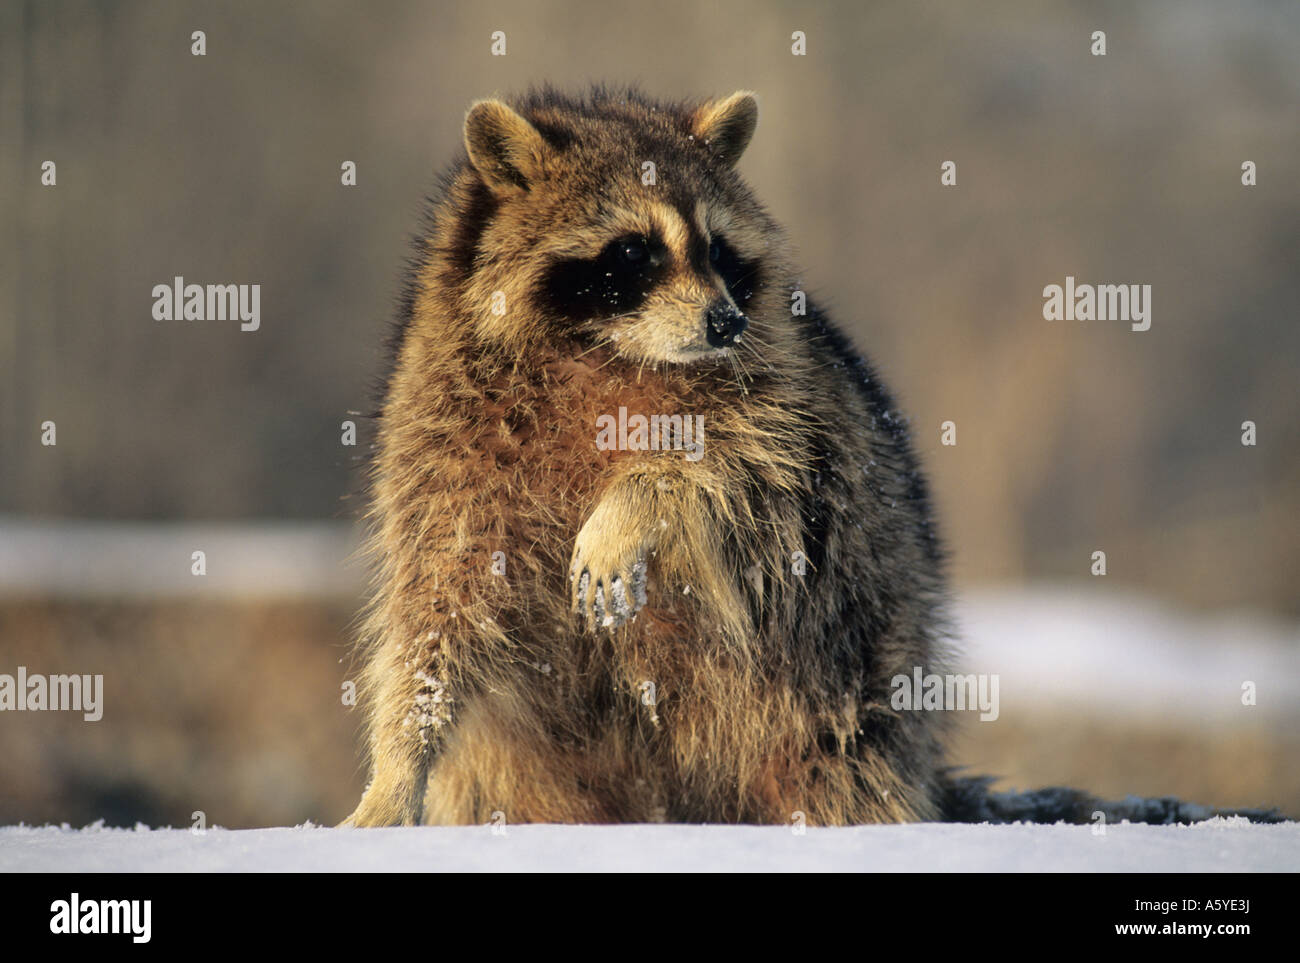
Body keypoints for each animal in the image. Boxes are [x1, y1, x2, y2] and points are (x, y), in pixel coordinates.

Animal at [343, 86, 1279, 831]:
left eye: (718, 249)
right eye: (633, 251)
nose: (724, 320)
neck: (607, 352)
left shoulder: (788, 409)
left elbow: (748, 490)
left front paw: (641, 498)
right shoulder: (444, 438)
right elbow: (436, 605)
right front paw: (398, 765)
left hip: (850, 692)